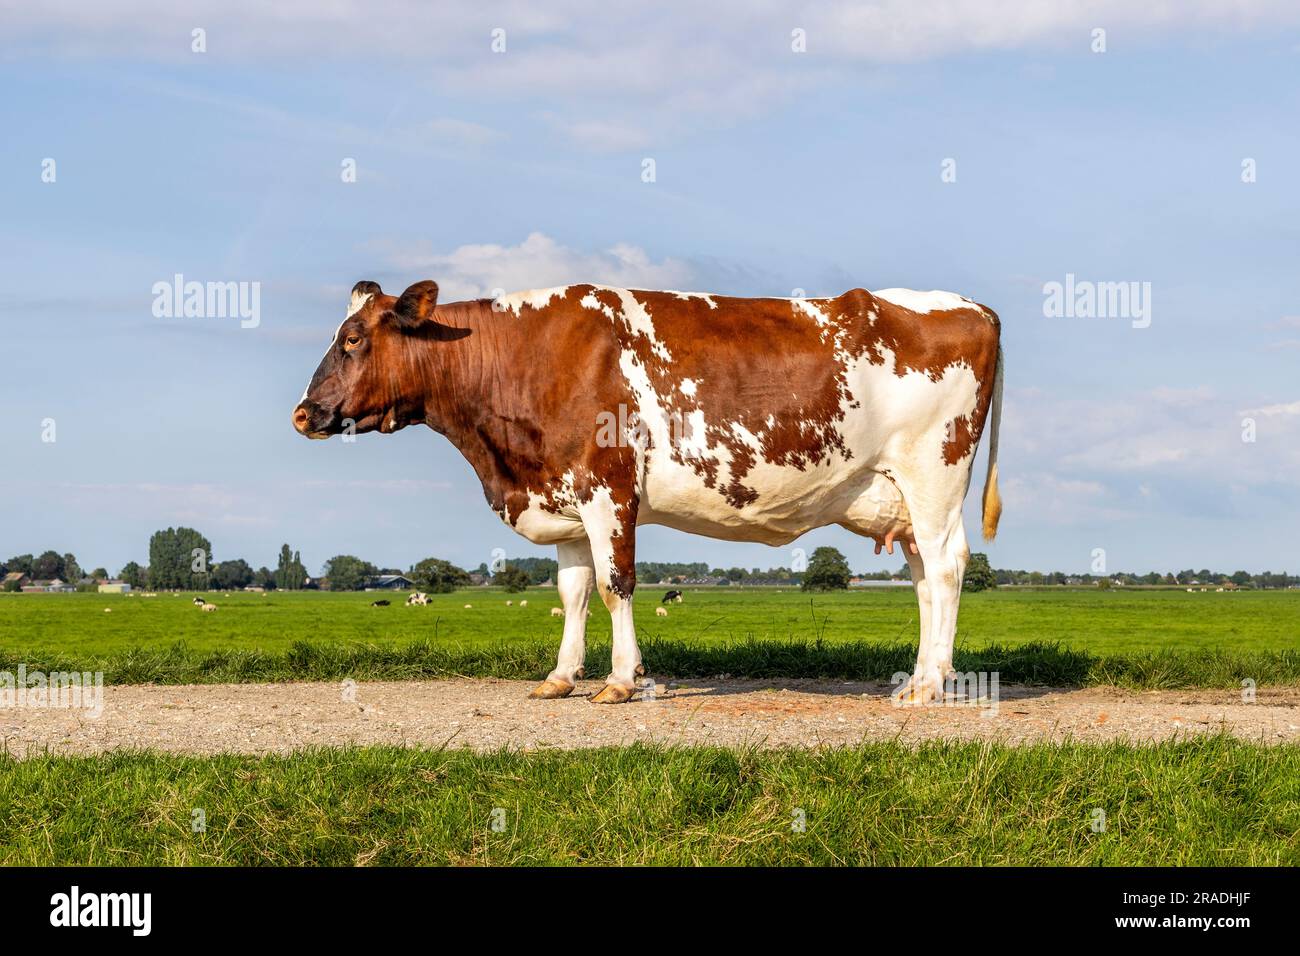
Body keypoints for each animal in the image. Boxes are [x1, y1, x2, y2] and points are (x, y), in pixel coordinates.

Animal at [294, 280, 1002, 704]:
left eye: (352, 339)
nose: (303, 414)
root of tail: (971, 304)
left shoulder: (607, 486)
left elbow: (616, 586)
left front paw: (619, 681)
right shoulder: (566, 496)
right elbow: (573, 593)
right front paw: (560, 678)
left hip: (934, 473)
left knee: (947, 569)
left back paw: (930, 685)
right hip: (902, 497)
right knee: (925, 578)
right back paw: (921, 677)